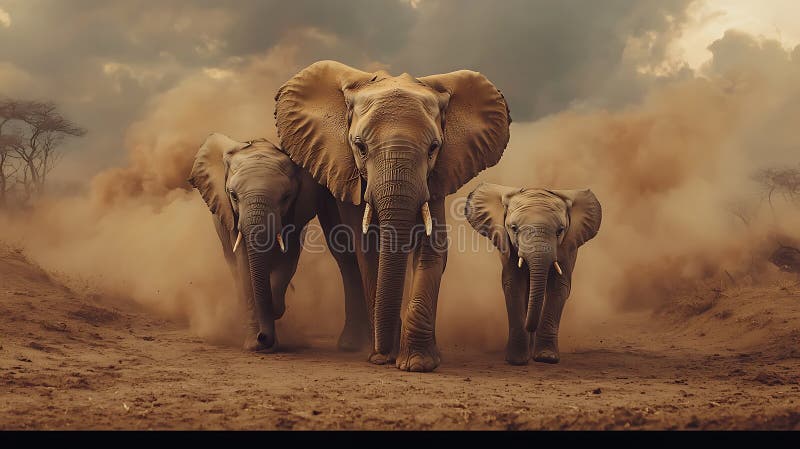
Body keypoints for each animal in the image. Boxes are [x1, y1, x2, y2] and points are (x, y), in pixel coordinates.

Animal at [188, 133, 371, 353]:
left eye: (285, 197)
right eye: (233, 195)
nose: (262, 337)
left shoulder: (295, 213)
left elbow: (287, 260)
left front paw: (275, 310)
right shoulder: (232, 217)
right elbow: (244, 265)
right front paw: (254, 344)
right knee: (234, 267)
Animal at [274, 60, 511, 371]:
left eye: (433, 148)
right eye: (360, 147)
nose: (382, 355)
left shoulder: (437, 175)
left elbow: (433, 249)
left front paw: (417, 363)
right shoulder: (351, 172)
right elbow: (368, 250)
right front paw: (384, 356)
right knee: (346, 257)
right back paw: (355, 345)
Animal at [465, 183, 601, 365]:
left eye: (560, 231)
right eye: (514, 228)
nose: (529, 327)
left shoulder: (568, 247)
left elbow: (559, 287)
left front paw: (546, 357)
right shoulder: (506, 245)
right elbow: (514, 285)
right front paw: (517, 360)